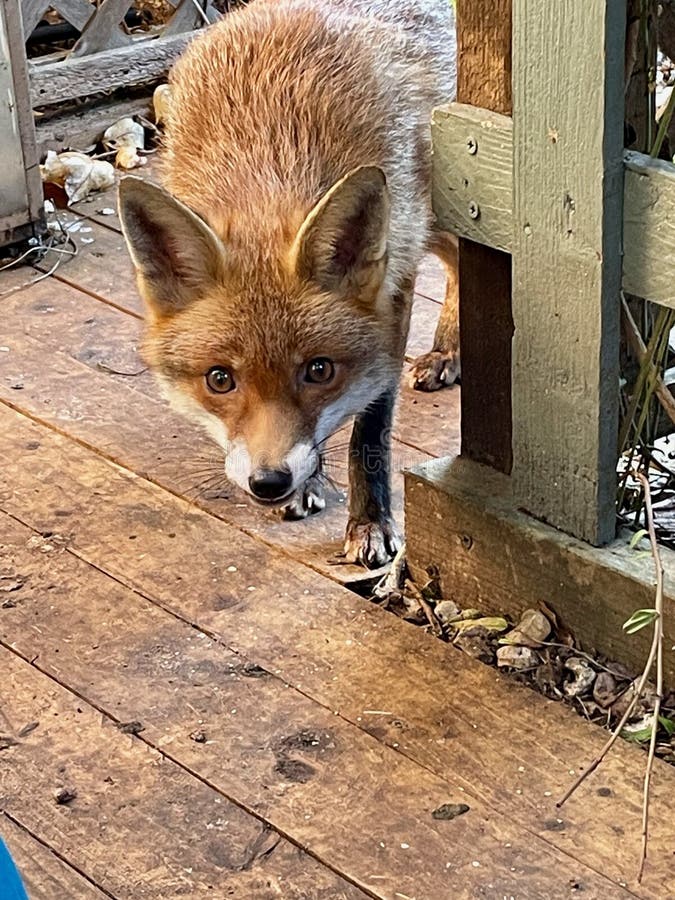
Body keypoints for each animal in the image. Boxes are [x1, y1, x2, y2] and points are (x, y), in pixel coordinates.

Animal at [118, 0, 458, 569]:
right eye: (219, 379)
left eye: (318, 370)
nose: (269, 482)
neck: (267, 155)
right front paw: (310, 482)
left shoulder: (395, 286)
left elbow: (370, 425)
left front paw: (370, 520)